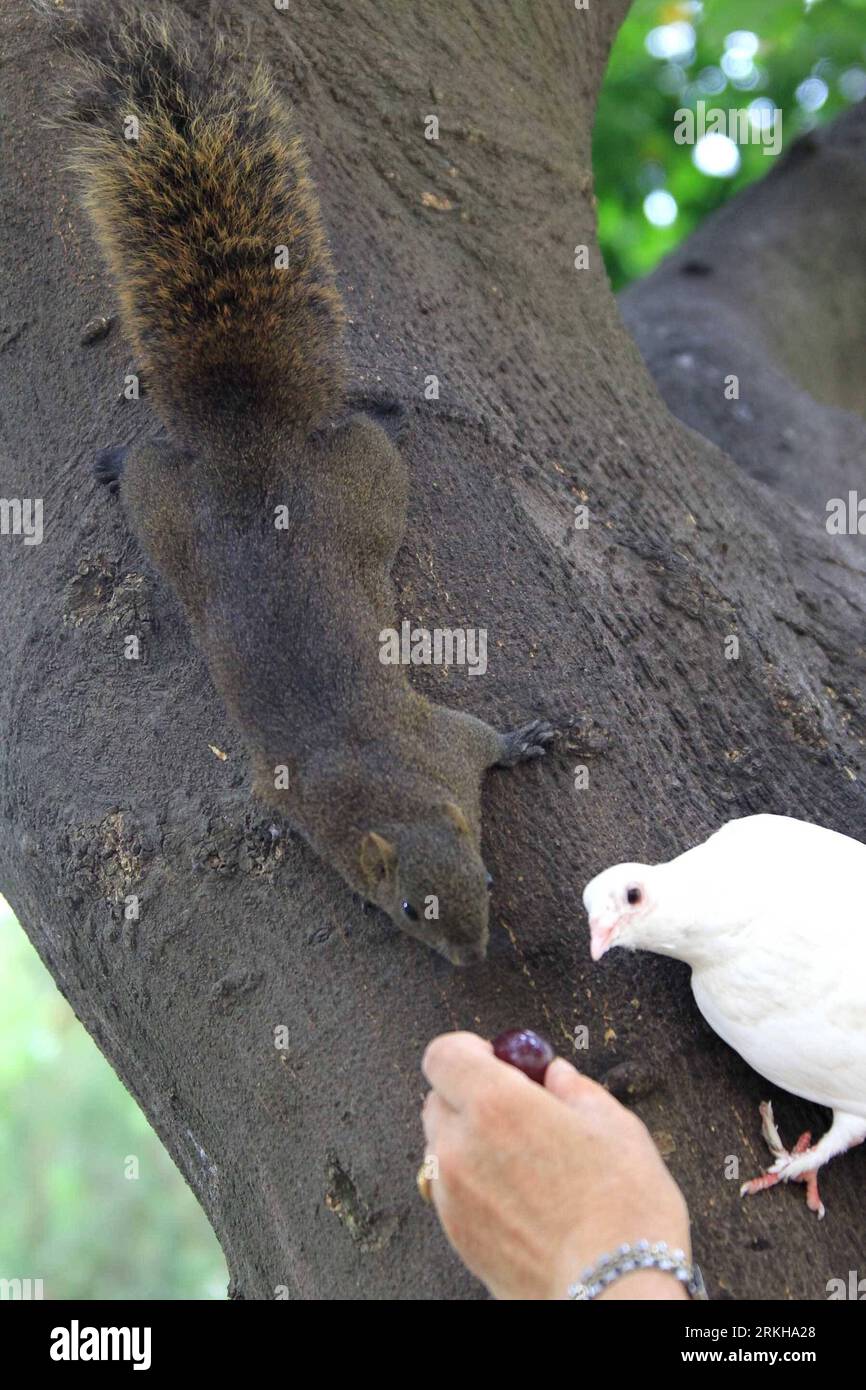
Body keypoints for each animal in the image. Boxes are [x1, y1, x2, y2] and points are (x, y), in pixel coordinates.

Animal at [51, 3, 554, 966]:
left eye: (487, 879)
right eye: (408, 909)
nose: (472, 958)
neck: (384, 784)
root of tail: (249, 438)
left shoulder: (440, 740)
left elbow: (483, 737)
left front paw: (526, 740)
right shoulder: (314, 787)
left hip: (323, 488)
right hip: (241, 503)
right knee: (162, 471)